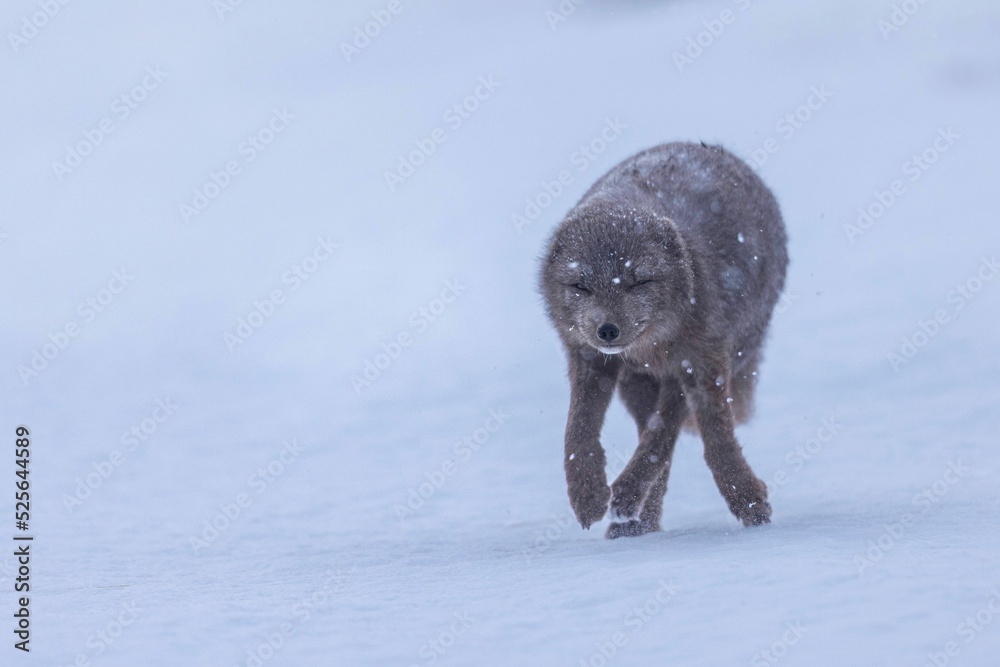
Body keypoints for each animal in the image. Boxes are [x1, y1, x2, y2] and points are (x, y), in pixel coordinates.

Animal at [539, 142, 788, 538]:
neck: (650, 347)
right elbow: (577, 432)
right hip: (635, 383)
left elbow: (700, 437)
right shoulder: (589, 358)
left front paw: (749, 501)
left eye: (639, 281)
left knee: (673, 435)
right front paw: (587, 494)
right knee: (653, 436)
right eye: (581, 286)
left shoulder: (699, 361)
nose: (607, 330)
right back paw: (636, 523)